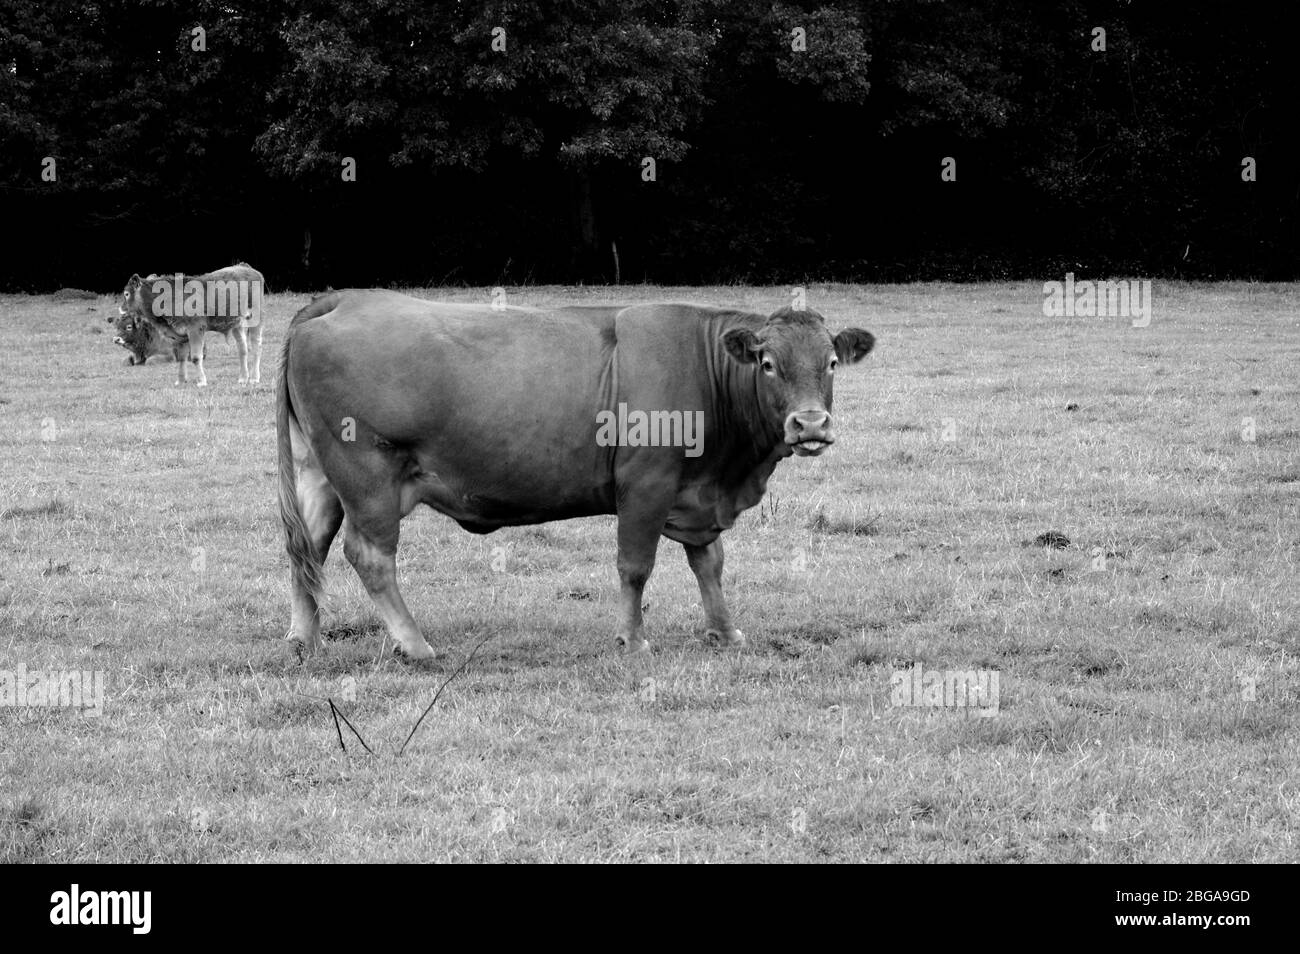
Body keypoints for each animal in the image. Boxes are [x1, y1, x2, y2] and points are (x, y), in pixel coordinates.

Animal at [114, 262, 265, 386]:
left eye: (126, 293)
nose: (120, 309)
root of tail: (245, 267)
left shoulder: (195, 329)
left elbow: (196, 357)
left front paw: (201, 381)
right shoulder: (180, 334)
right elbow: (182, 358)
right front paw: (181, 380)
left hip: (255, 318)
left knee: (256, 347)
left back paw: (254, 378)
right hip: (237, 324)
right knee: (243, 349)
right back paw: (243, 378)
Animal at [276, 290, 875, 660]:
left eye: (831, 364)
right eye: (768, 364)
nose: (810, 424)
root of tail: (346, 298)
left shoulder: (697, 494)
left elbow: (710, 565)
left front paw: (725, 632)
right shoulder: (647, 485)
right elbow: (635, 566)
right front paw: (633, 641)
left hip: (319, 475)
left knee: (307, 548)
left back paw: (305, 641)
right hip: (368, 475)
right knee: (369, 556)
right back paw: (415, 644)